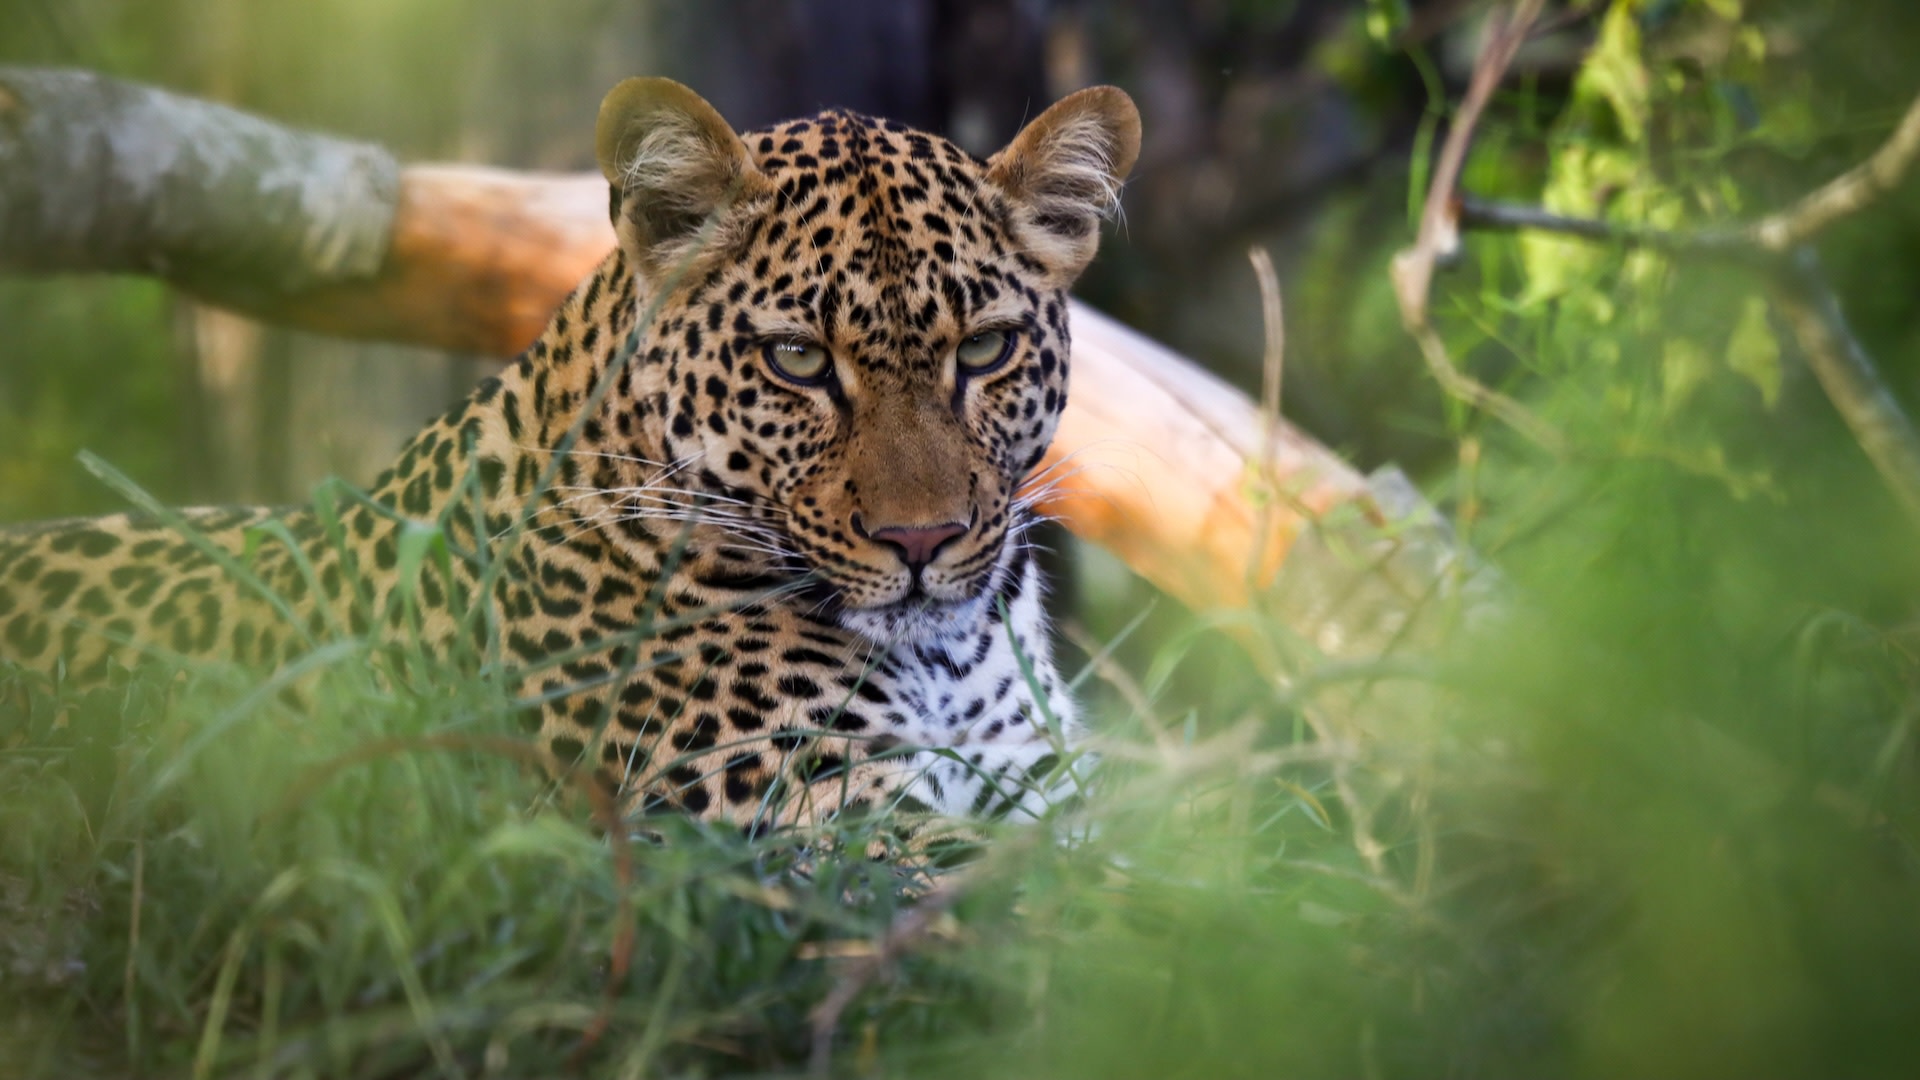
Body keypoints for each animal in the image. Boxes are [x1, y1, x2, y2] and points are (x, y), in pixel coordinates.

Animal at [0, 77, 1141, 834]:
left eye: (984, 350)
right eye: (797, 361)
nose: (922, 540)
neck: (954, 657)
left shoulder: (1046, 796)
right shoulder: (827, 825)